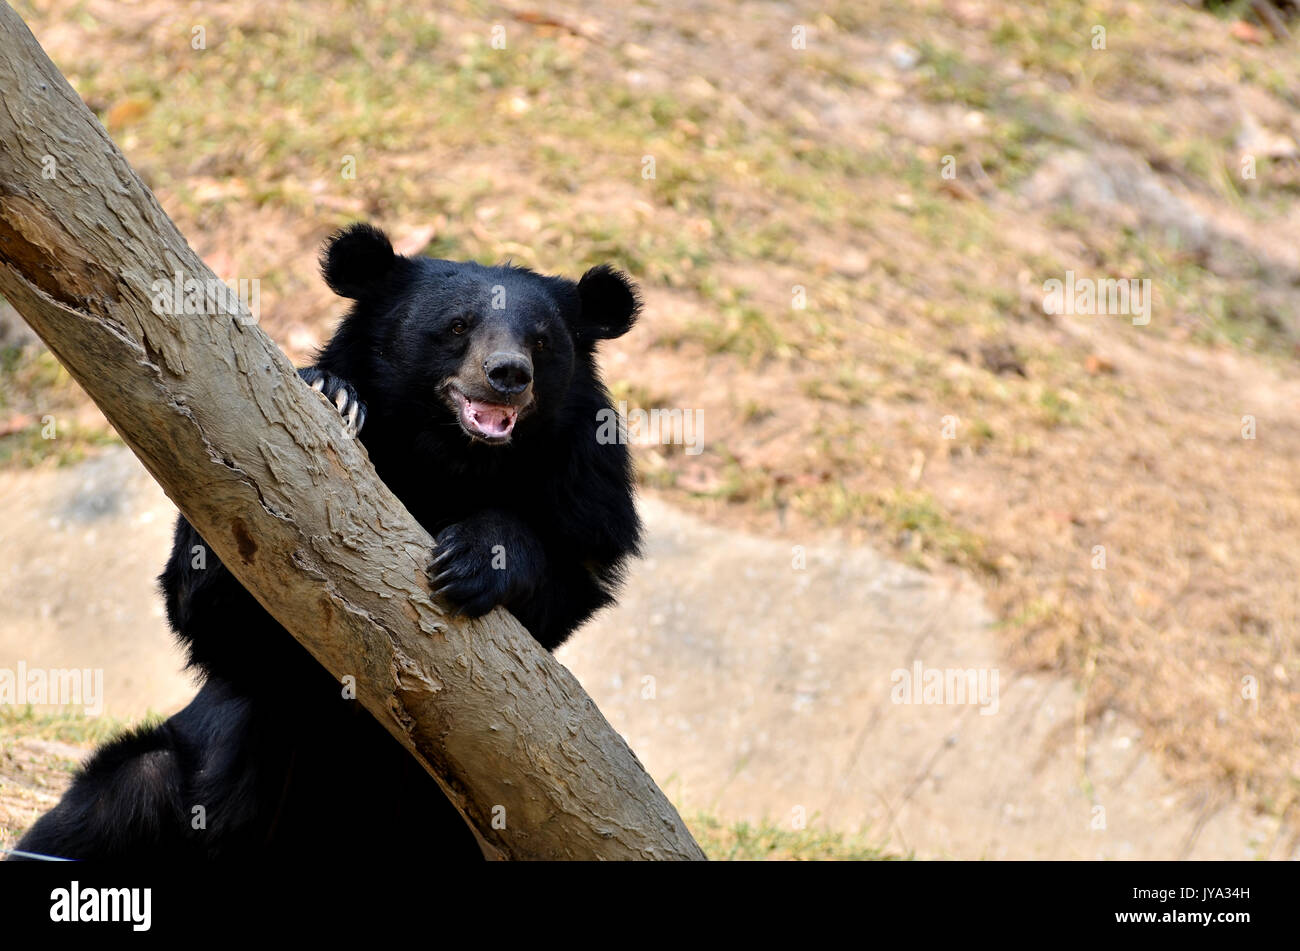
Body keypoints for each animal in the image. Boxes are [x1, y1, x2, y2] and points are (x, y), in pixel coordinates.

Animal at [11, 223, 642, 861]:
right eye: (457, 327)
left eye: (540, 342)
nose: (508, 375)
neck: (453, 459)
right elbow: (216, 605)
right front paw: (330, 393)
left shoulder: (584, 490)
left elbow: (563, 582)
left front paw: (472, 560)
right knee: (127, 787)